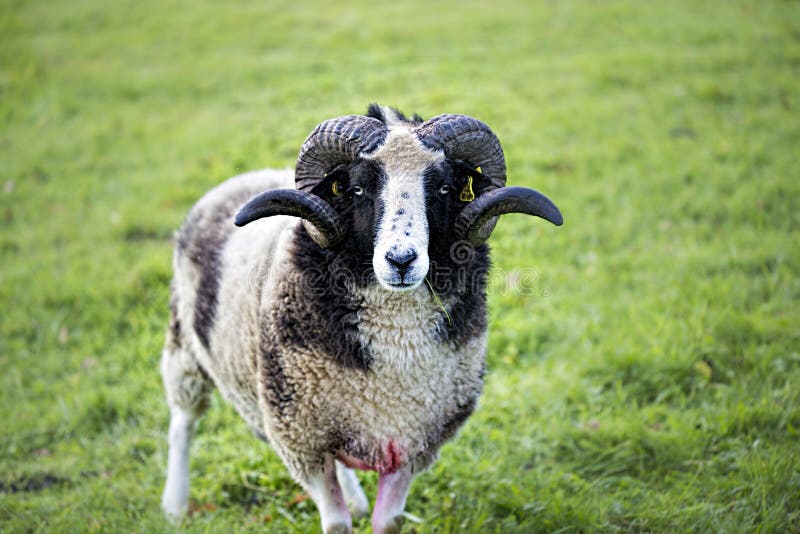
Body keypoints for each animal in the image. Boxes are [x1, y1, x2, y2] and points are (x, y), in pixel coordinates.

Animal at [160, 104, 563, 533]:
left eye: (444, 189)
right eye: (357, 189)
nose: (401, 260)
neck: (397, 347)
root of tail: (242, 177)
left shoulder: (412, 442)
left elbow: (388, 522)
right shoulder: (301, 439)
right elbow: (336, 523)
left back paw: (355, 499)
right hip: (186, 348)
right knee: (182, 421)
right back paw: (174, 505)